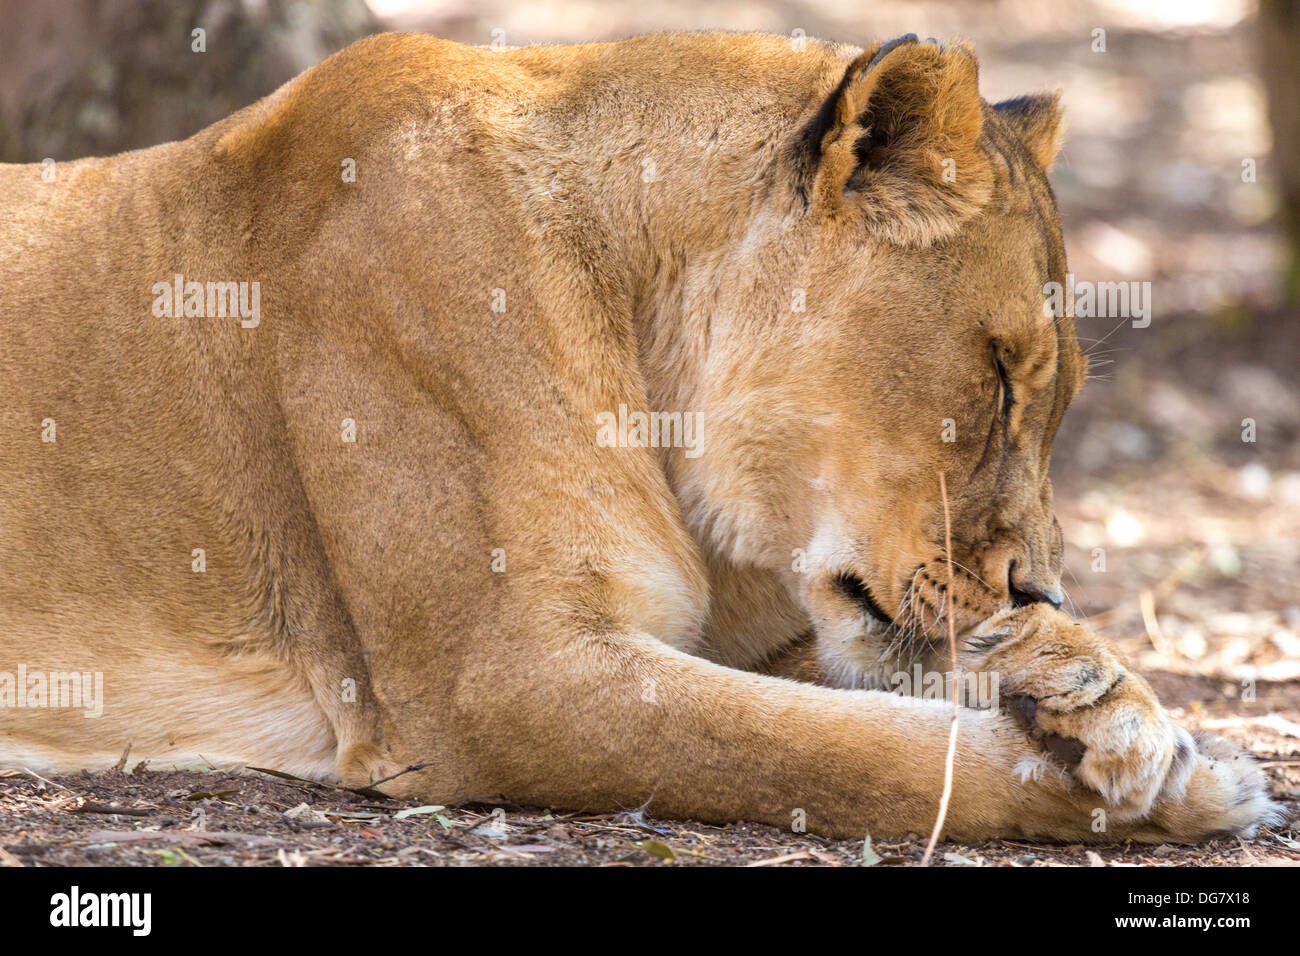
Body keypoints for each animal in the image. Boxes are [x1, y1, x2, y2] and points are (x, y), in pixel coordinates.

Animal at [0, 30, 1278, 842]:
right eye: (1003, 377)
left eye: (1055, 396)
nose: (1042, 588)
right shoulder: (498, 679)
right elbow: (843, 746)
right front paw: (1151, 781)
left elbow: (876, 688)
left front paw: (1111, 698)